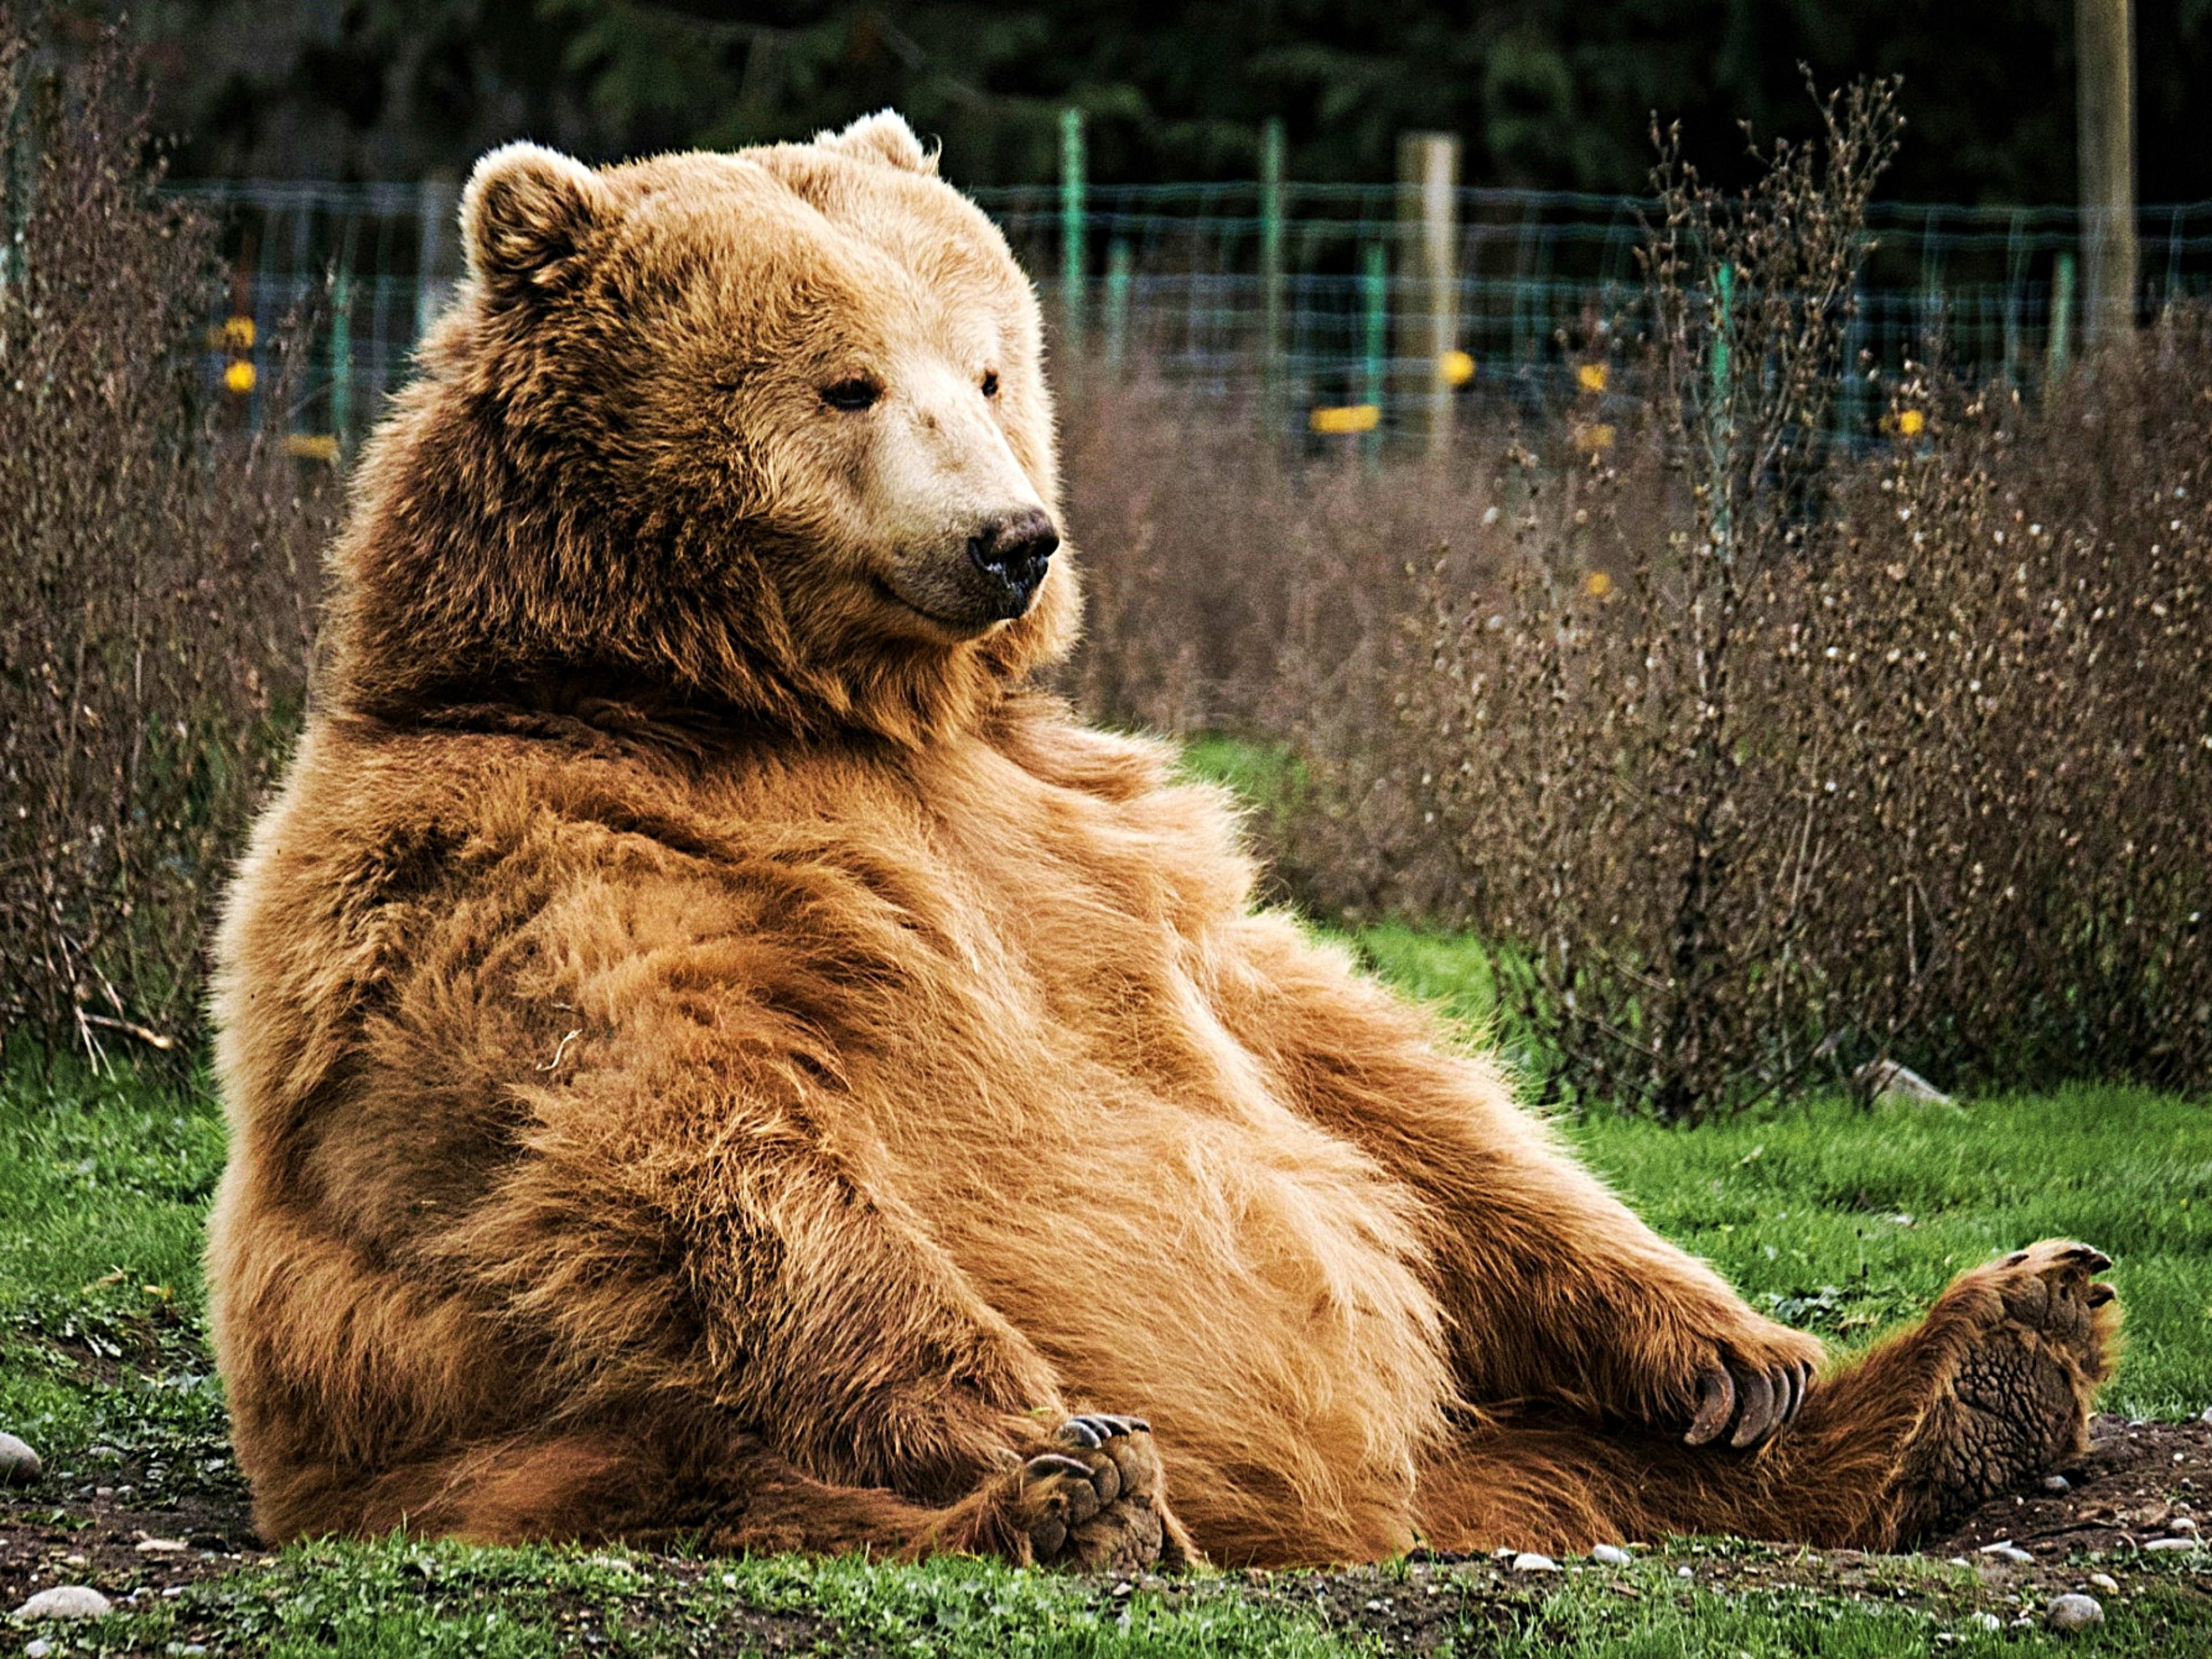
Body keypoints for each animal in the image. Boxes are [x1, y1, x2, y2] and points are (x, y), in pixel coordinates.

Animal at [206, 111, 2118, 1570]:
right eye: (846, 385)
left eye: (988, 366)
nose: (1012, 538)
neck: (779, 704)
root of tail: (1362, 1520)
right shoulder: (528, 860)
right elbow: (681, 1138)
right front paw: (1034, 1427)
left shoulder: (1089, 839)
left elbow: (1357, 1068)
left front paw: (1731, 1347)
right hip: (517, 1443)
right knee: (732, 1474)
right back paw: (1073, 1503)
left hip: (1485, 1435)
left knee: (1597, 1457)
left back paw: (1982, 1364)